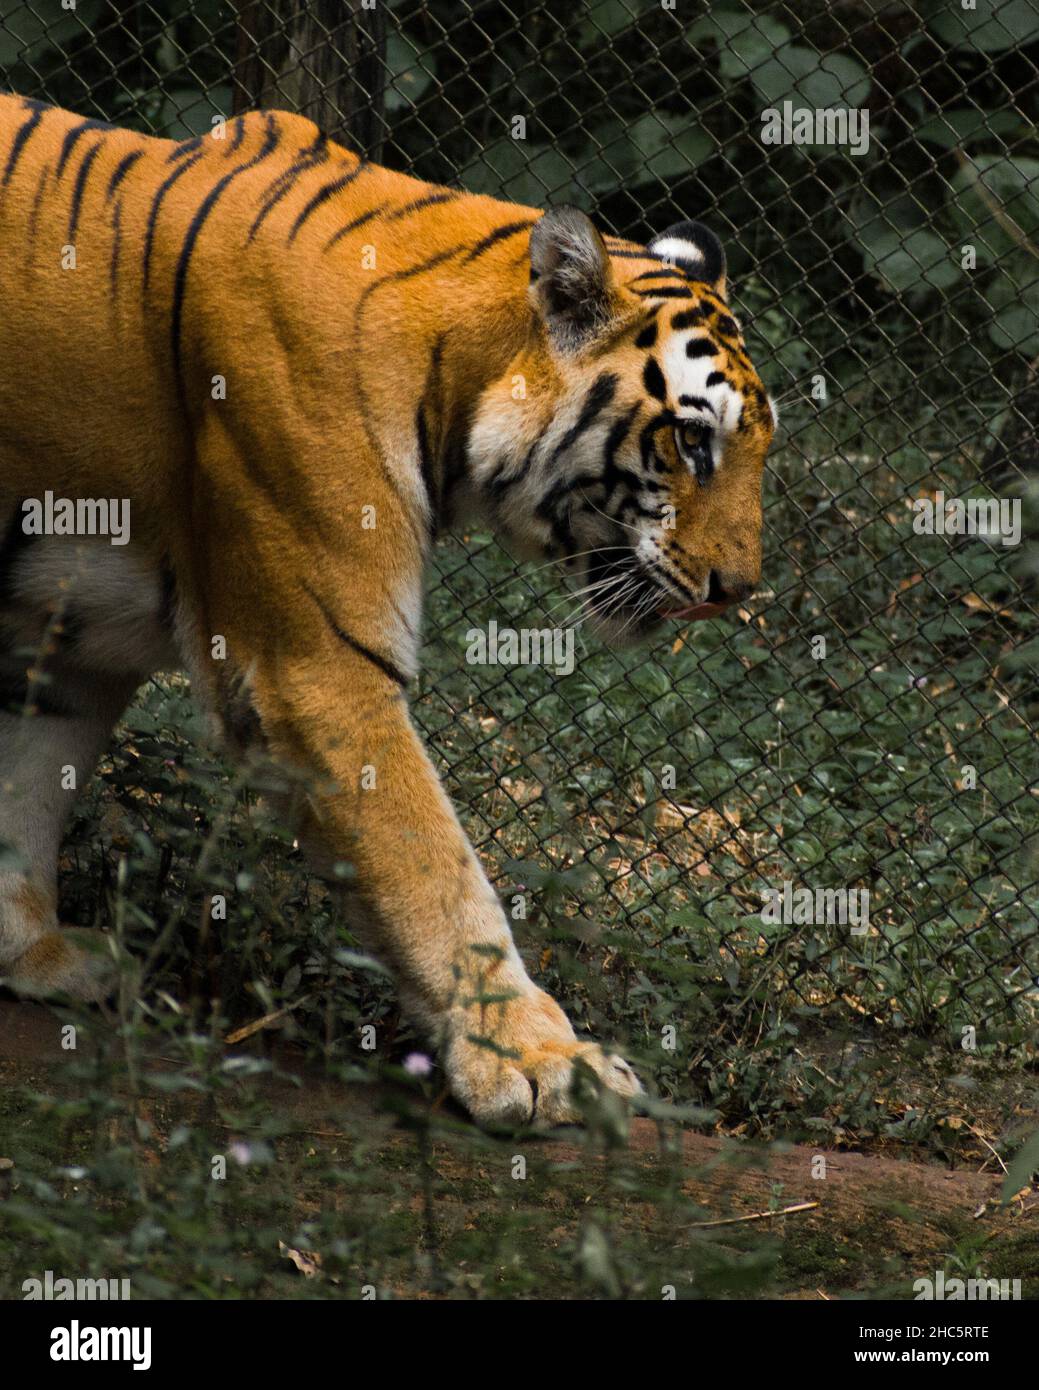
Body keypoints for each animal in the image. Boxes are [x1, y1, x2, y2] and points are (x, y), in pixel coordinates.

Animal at [0, 94, 775, 1128]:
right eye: (692, 443)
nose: (741, 588)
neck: (457, 370)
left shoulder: (73, 638)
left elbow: (28, 790)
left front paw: (31, 954)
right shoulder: (319, 668)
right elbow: (435, 869)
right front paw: (540, 1061)